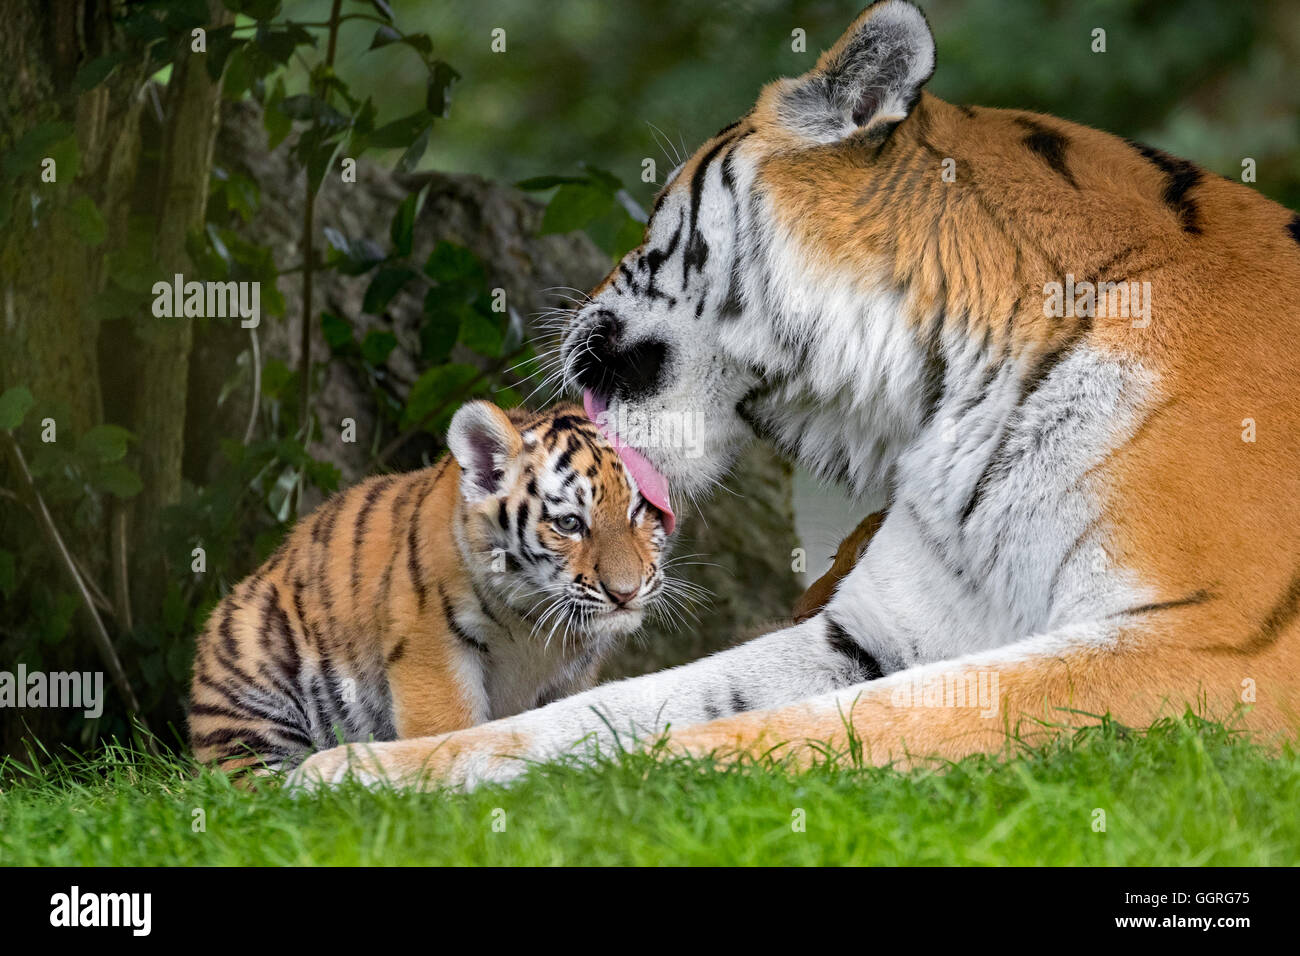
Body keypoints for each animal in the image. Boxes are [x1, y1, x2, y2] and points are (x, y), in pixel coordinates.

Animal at [188, 400, 669, 771]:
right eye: (569, 523)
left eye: (638, 512)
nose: (624, 593)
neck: (534, 618)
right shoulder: (430, 643)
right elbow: (447, 725)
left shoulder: (573, 673)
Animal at [288, 0, 1300, 791]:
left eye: (652, 214)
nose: (566, 317)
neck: (947, 389)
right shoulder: (869, 629)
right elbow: (615, 705)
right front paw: (347, 774)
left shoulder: (1207, 644)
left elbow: (795, 728)